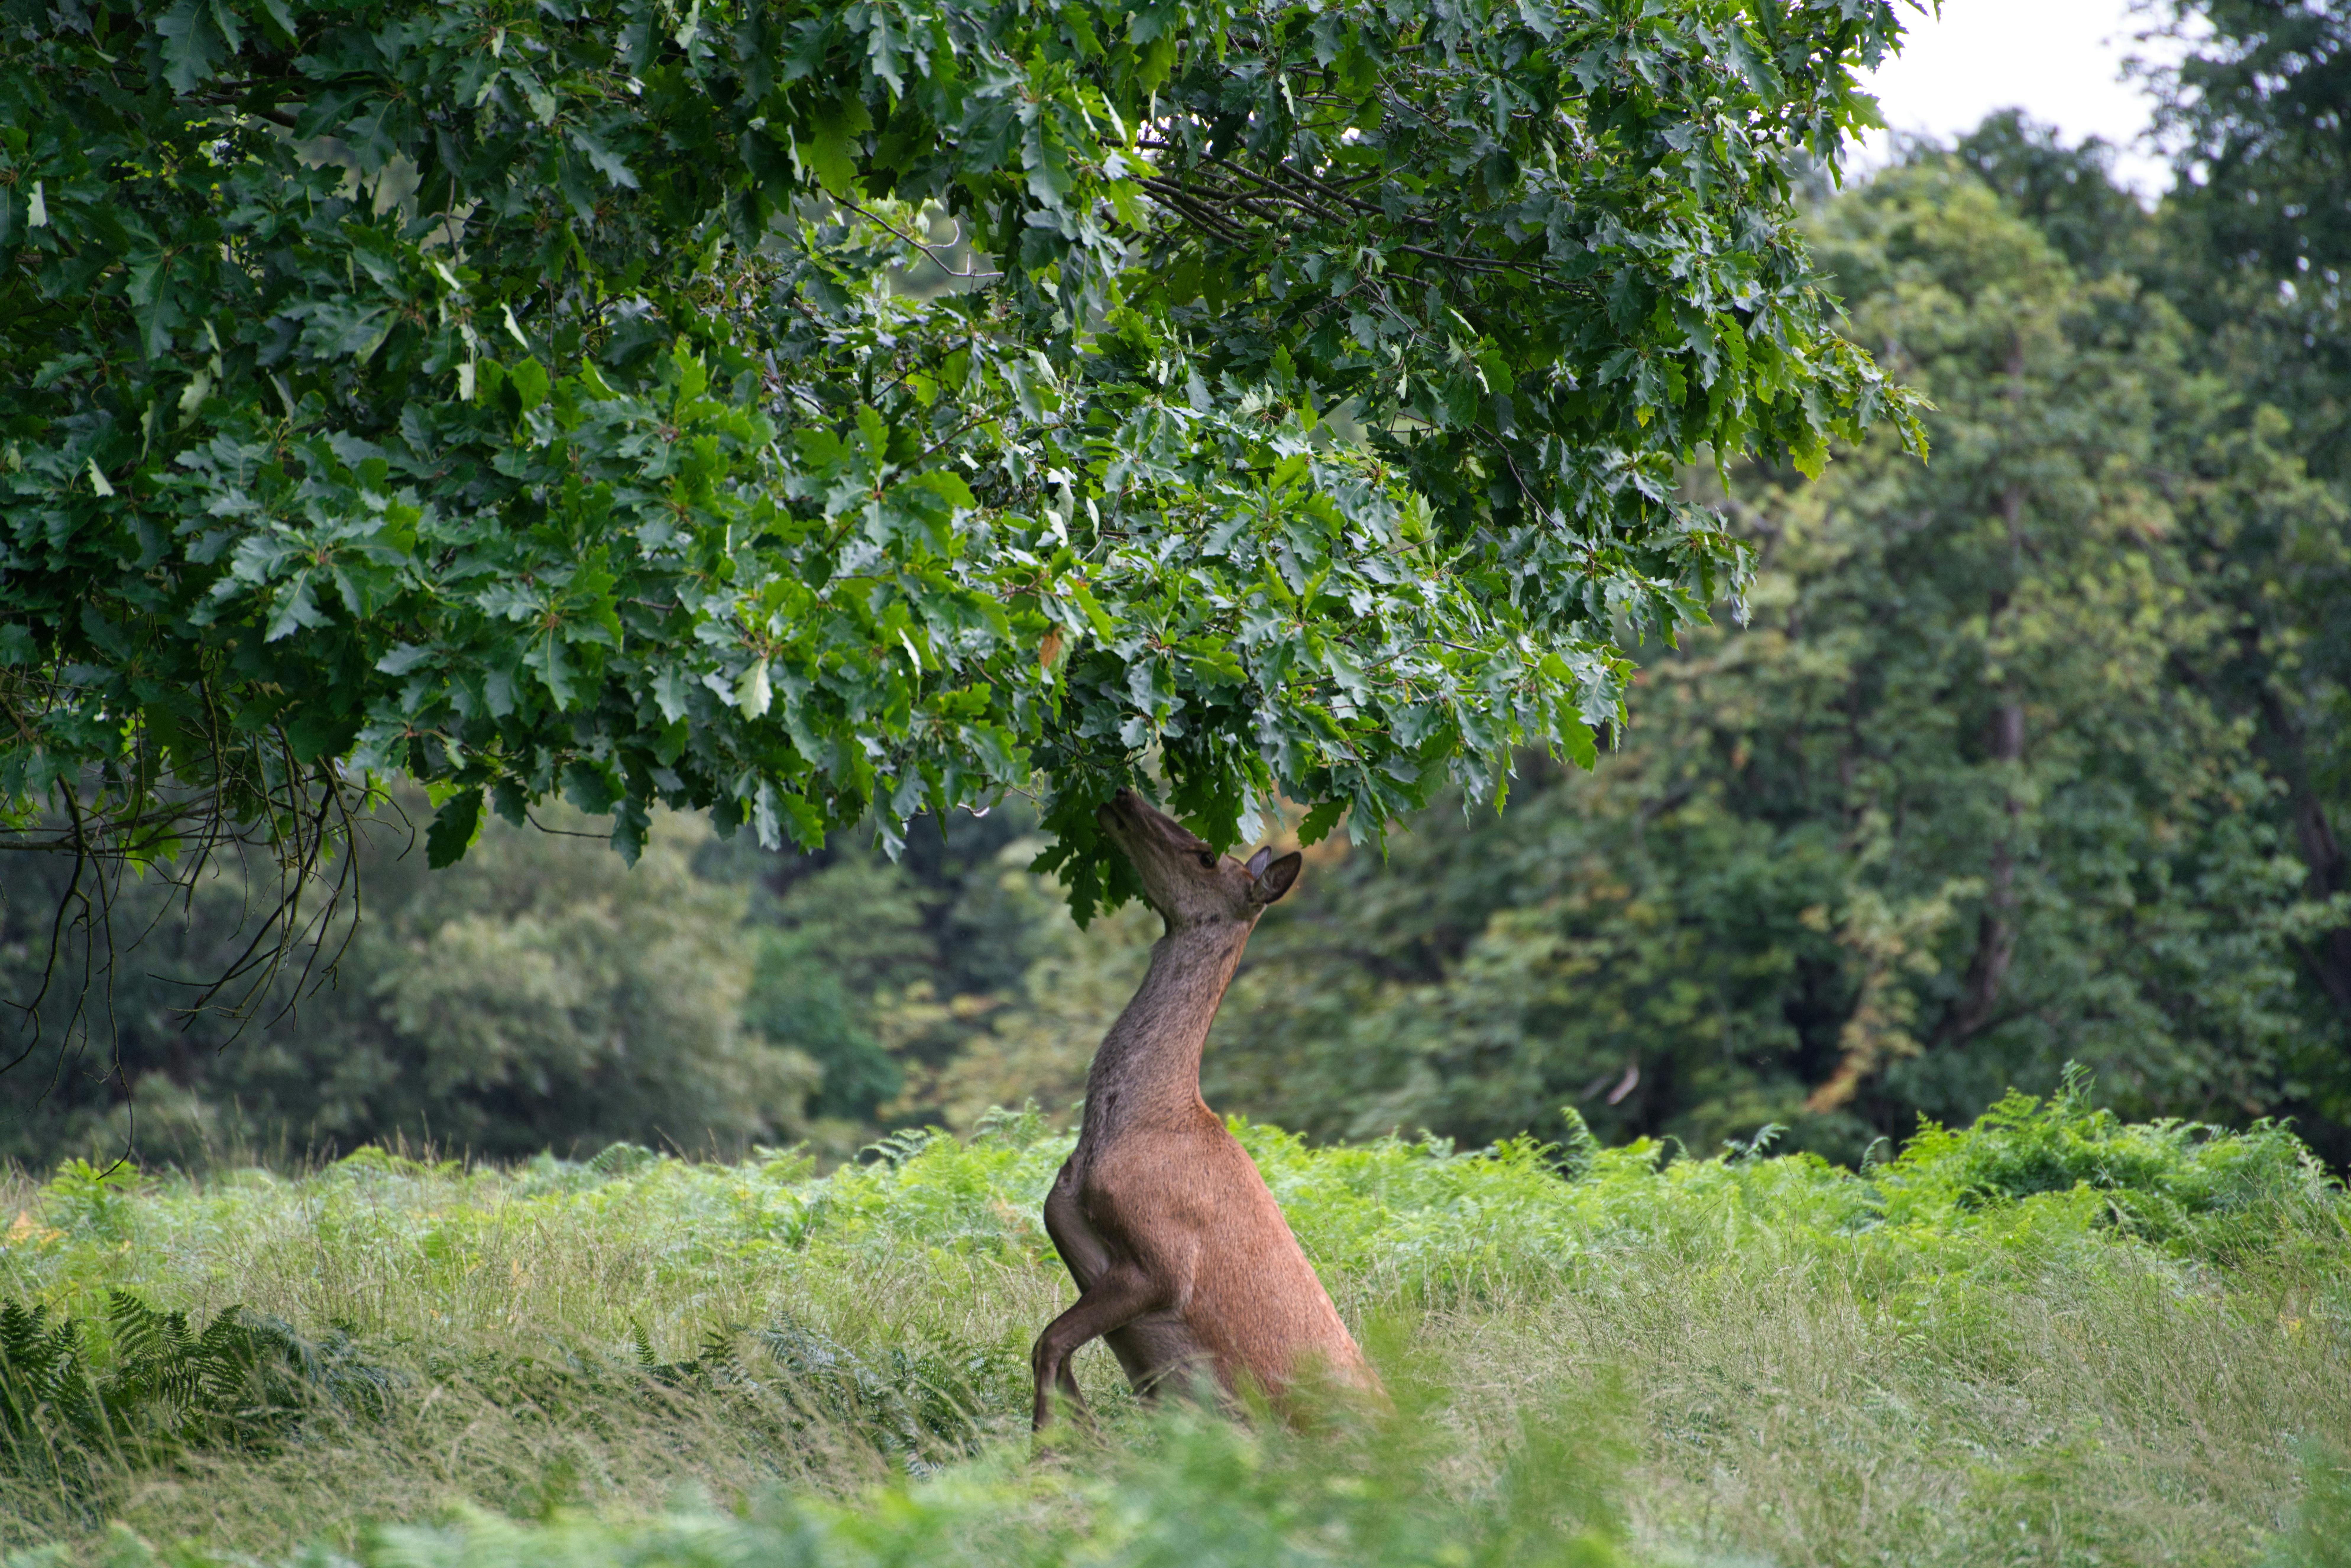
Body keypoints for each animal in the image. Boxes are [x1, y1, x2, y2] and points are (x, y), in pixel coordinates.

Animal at [1030, 787, 1379, 1430]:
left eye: (1205, 854)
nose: (1122, 795)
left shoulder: (1163, 1262)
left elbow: (1049, 1345)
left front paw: (1044, 1446)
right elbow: (1056, 1356)